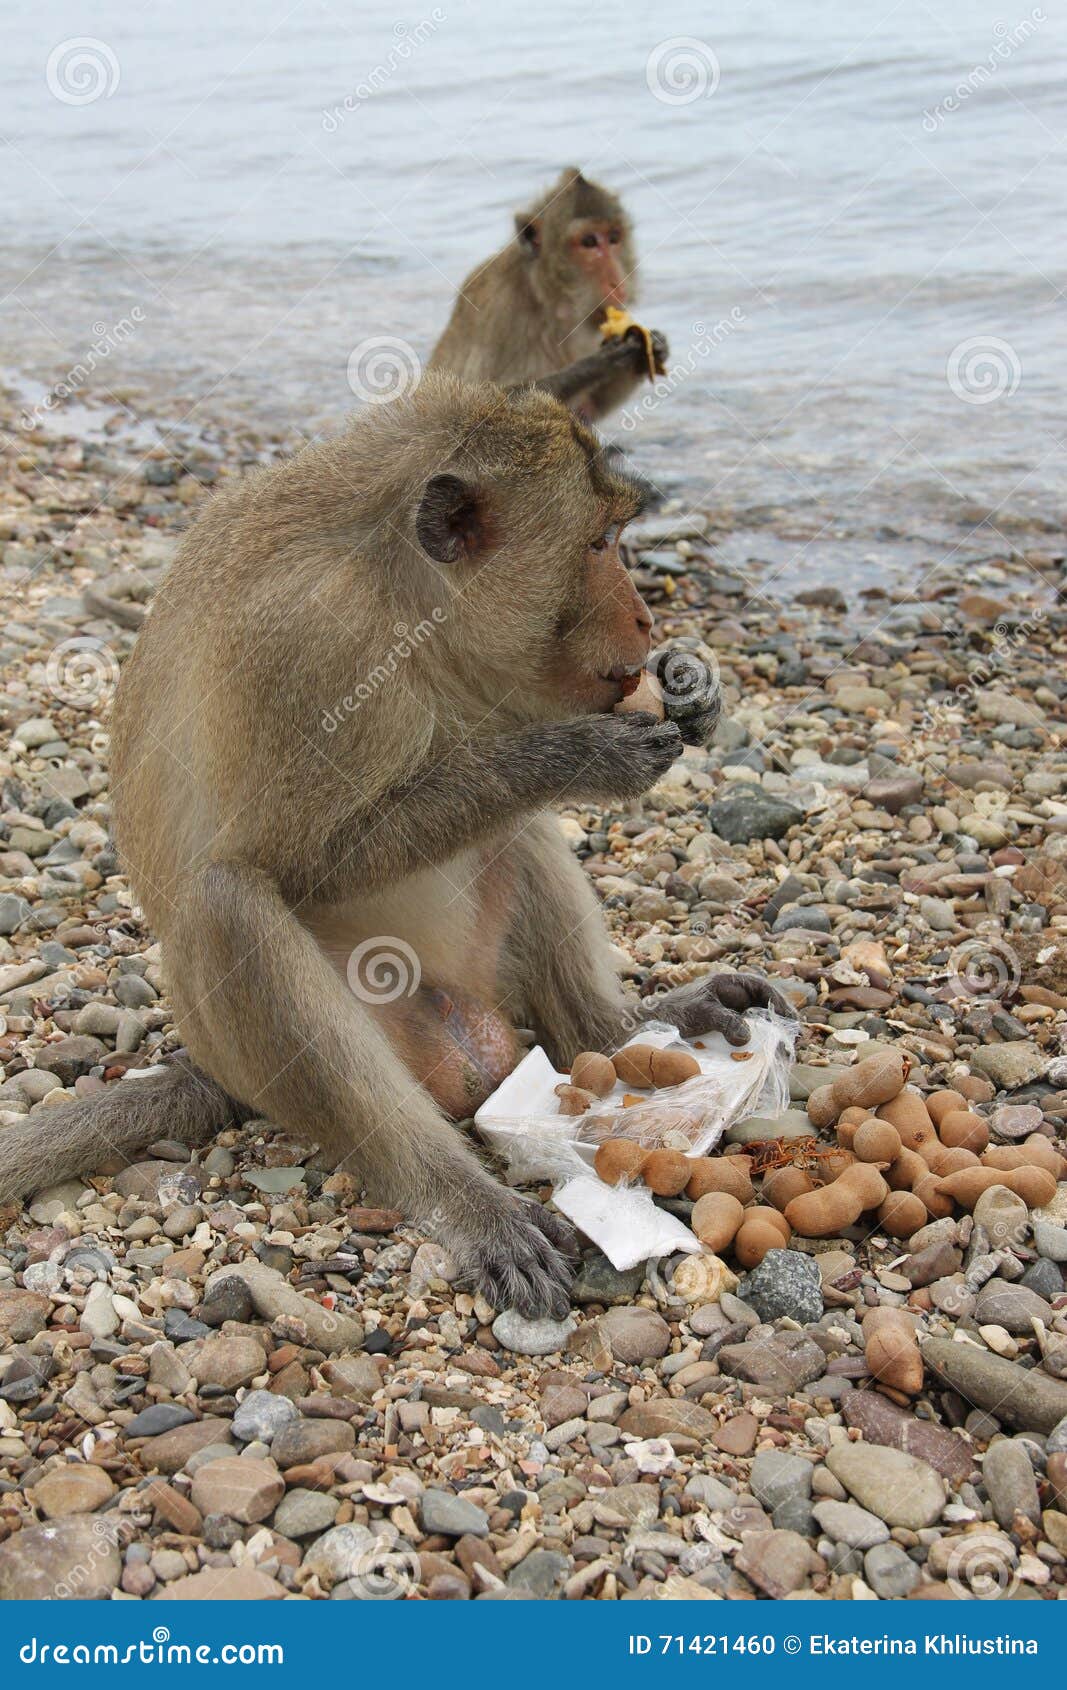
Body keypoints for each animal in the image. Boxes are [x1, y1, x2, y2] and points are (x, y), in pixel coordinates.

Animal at [1, 376, 790, 1317]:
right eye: (598, 543)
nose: (640, 617)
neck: (405, 599)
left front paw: (691, 684)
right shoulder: (311, 644)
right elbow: (300, 860)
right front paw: (581, 755)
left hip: (479, 967)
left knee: (516, 832)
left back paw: (621, 1027)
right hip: (303, 1039)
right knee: (233, 904)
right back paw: (463, 1197)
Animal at [429, 167, 667, 427]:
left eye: (614, 238)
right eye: (589, 242)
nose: (619, 282)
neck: (547, 301)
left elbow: (589, 410)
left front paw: (654, 347)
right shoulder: (501, 310)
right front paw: (598, 365)